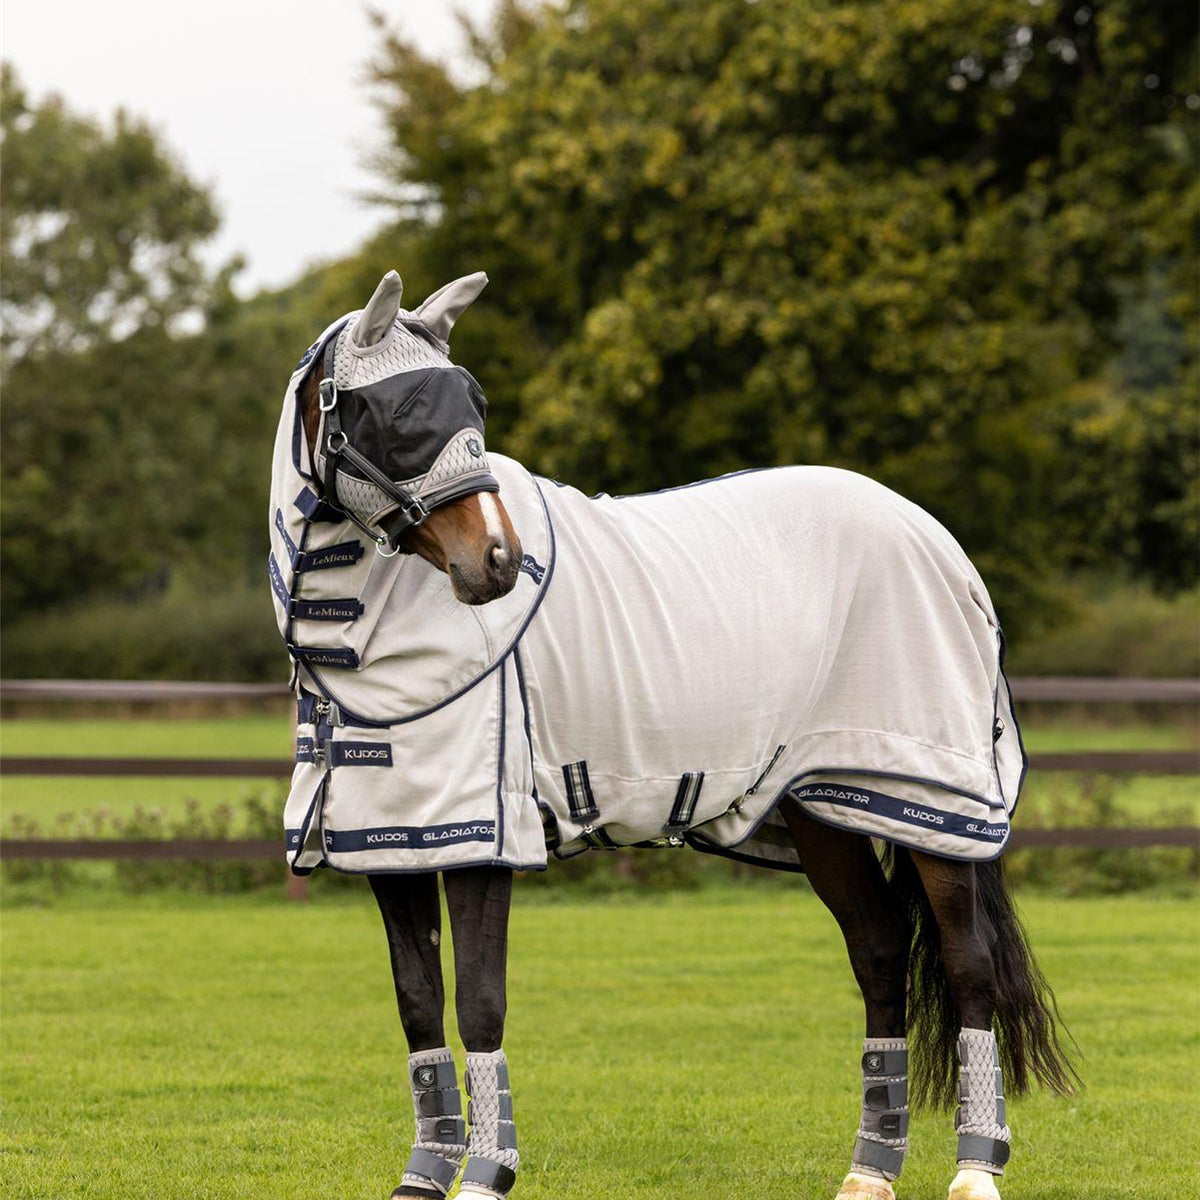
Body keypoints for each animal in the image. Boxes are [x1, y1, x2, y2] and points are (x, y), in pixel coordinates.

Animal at [268, 269, 1077, 1200]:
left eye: (472, 404)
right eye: (398, 415)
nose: (497, 562)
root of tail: (939, 543)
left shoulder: (485, 839)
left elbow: (480, 1000)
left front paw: (483, 1176)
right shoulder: (394, 843)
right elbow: (416, 1003)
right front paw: (425, 1176)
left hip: (930, 806)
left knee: (966, 965)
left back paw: (975, 1172)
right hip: (825, 811)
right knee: (878, 956)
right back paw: (867, 1173)